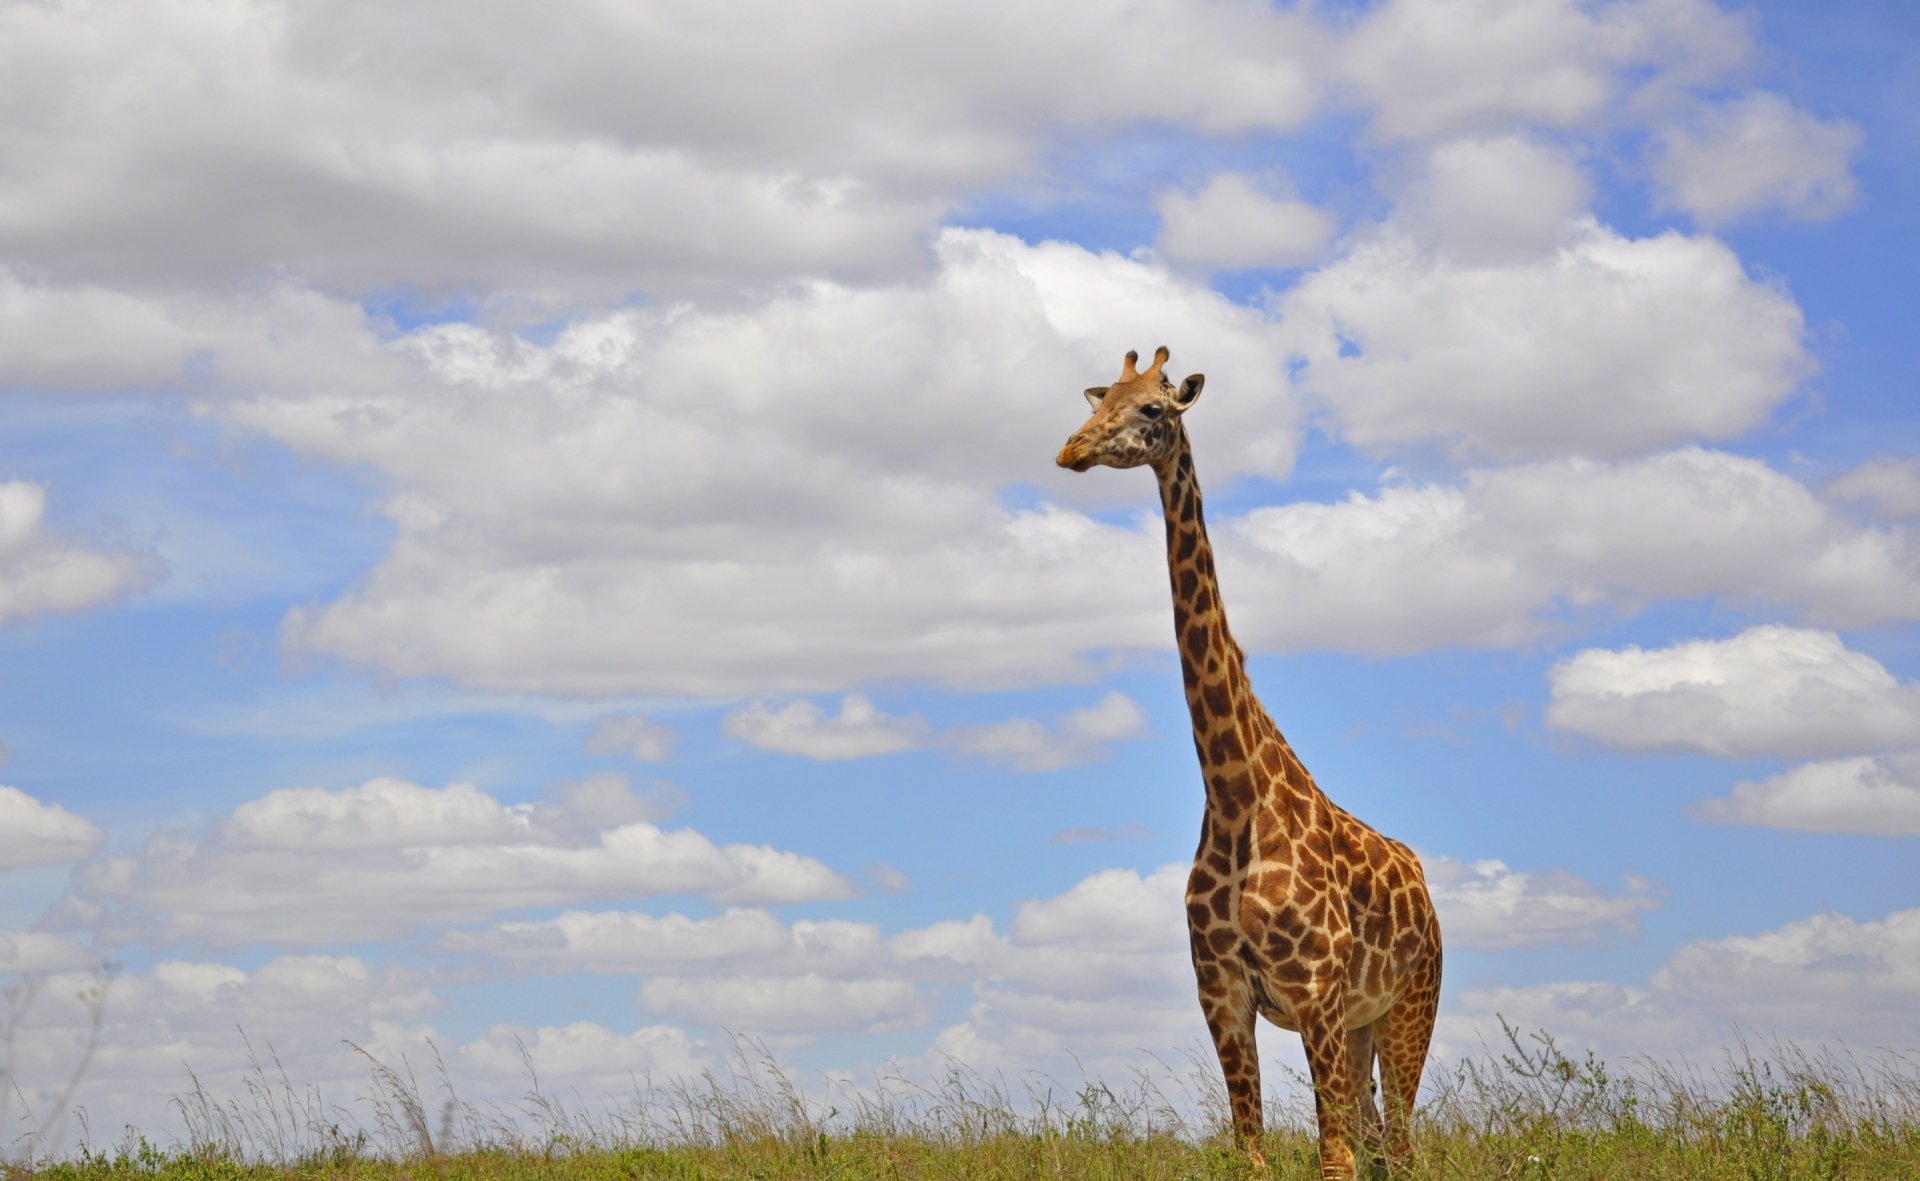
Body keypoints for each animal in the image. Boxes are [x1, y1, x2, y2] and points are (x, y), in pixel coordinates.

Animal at [1055, 347, 1443, 1180]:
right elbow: (1254, 1153)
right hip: (1361, 1024)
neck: (1235, 794)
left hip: (1408, 1007)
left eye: (1154, 409)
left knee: (1399, 1145)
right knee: (1380, 1141)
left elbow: (1333, 1160)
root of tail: (1425, 890)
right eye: (1103, 399)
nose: (1071, 449)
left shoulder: (1315, 995)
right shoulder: (1224, 998)